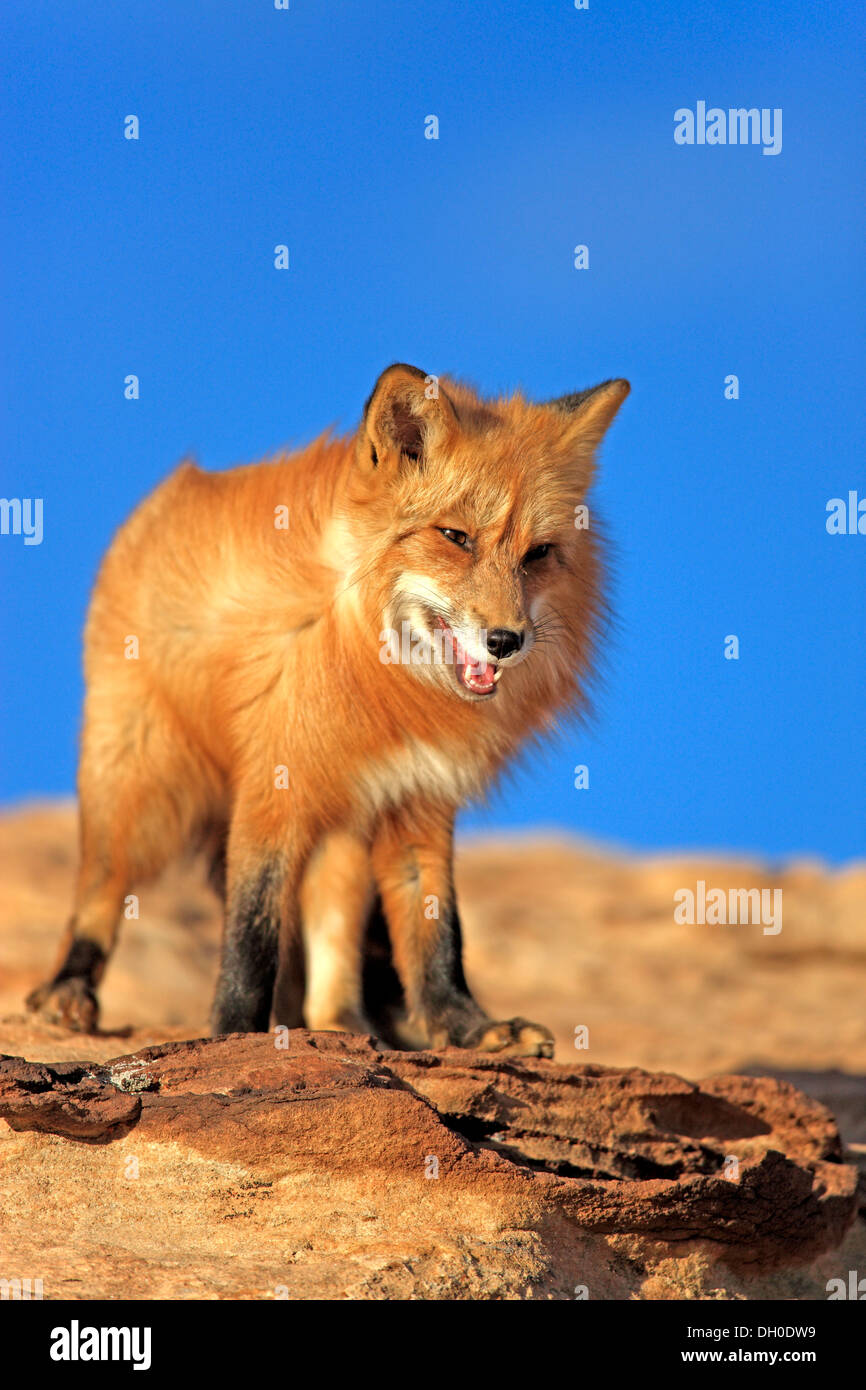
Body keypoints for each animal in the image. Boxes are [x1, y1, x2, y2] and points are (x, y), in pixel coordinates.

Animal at [26, 363, 629, 1056]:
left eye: (538, 554)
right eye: (455, 537)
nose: (506, 640)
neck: (387, 685)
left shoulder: (416, 797)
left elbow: (437, 934)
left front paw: (469, 1031)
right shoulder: (273, 787)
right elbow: (251, 937)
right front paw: (234, 1036)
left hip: (341, 836)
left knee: (331, 976)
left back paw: (346, 1029)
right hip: (136, 777)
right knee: (99, 889)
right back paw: (69, 989)